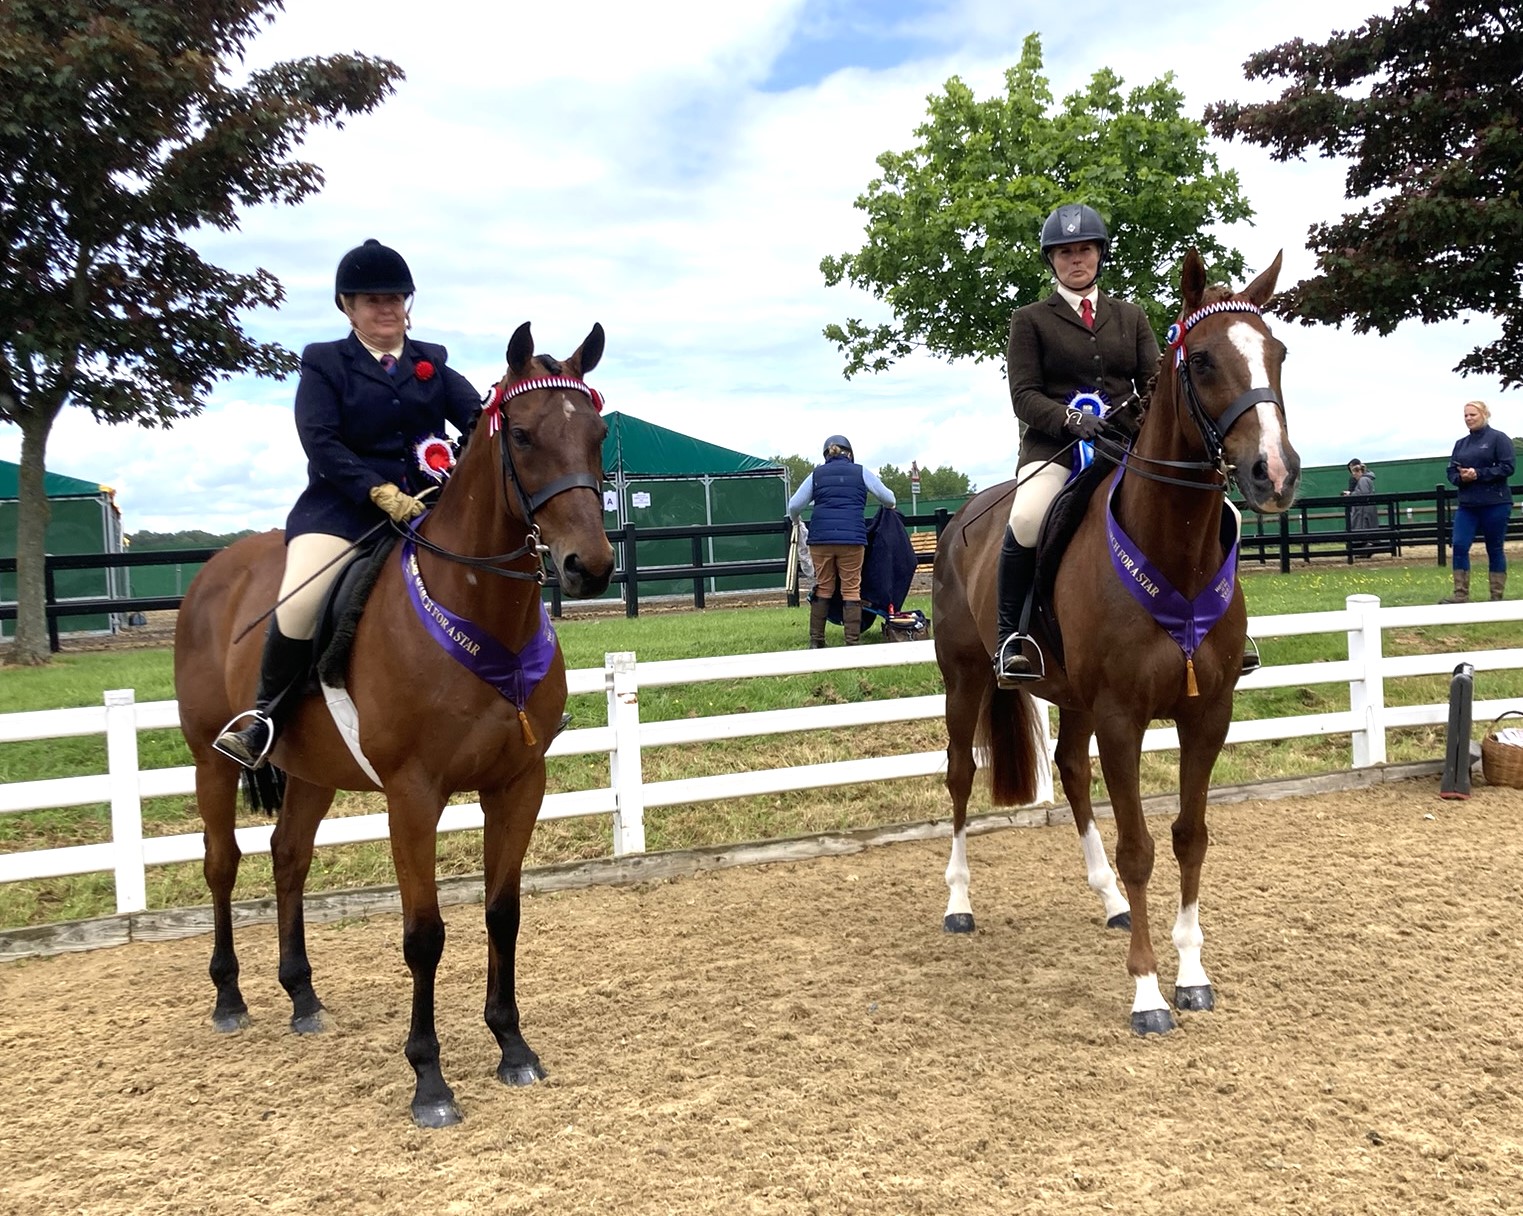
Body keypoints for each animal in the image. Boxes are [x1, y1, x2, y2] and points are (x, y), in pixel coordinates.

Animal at [173, 322, 616, 1126]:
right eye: (524, 434)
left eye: (599, 434)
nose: (589, 567)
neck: (477, 610)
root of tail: (218, 567)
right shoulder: (413, 796)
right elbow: (424, 935)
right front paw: (429, 1080)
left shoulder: (518, 784)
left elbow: (501, 913)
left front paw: (513, 1046)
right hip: (211, 759)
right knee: (222, 864)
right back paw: (229, 998)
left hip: (313, 770)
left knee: (288, 856)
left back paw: (303, 997)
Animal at [932, 250, 1299, 1034]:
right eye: (1200, 360)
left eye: (1278, 353)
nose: (1275, 474)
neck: (1175, 550)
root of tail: (961, 519)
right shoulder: (1123, 718)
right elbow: (1139, 848)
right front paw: (1147, 993)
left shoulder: (1205, 716)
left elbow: (1190, 836)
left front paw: (1191, 974)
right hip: (965, 677)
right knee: (959, 777)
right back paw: (959, 903)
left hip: (1071, 696)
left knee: (1070, 771)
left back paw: (1107, 902)